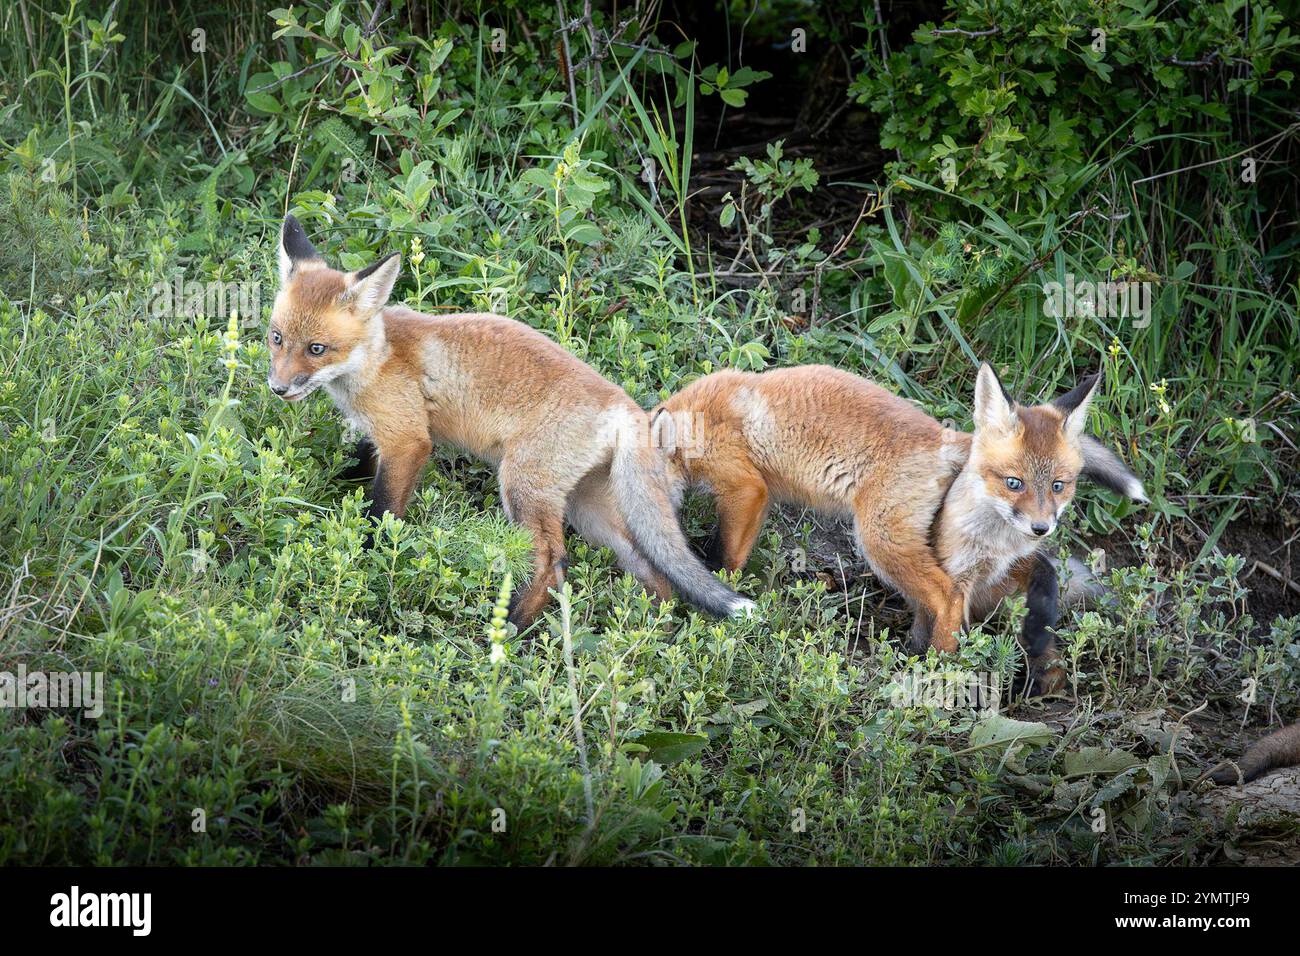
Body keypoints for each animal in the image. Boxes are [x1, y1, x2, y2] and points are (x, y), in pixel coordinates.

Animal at [267, 215, 755, 629]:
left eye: (316, 349)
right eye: (276, 338)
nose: (277, 388)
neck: (377, 358)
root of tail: (628, 407)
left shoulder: (408, 441)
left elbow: (382, 513)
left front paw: (368, 557)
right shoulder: (379, 434)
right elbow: (358, 470)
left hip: (522, 486)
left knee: (553, 563)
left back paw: (511, 631)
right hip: (587, 508)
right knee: (651, 570)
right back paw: (641, 633)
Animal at [650, 363, 1146, 690]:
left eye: (1057, 486)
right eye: (1016, 483)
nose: (1042, 526)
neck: (689, 419)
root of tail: (947, 436)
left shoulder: (745, 487)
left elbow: (726, 557)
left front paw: (714, 601)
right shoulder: (756, 493)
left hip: (880, 540)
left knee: (949, 597)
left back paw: (937, 669)